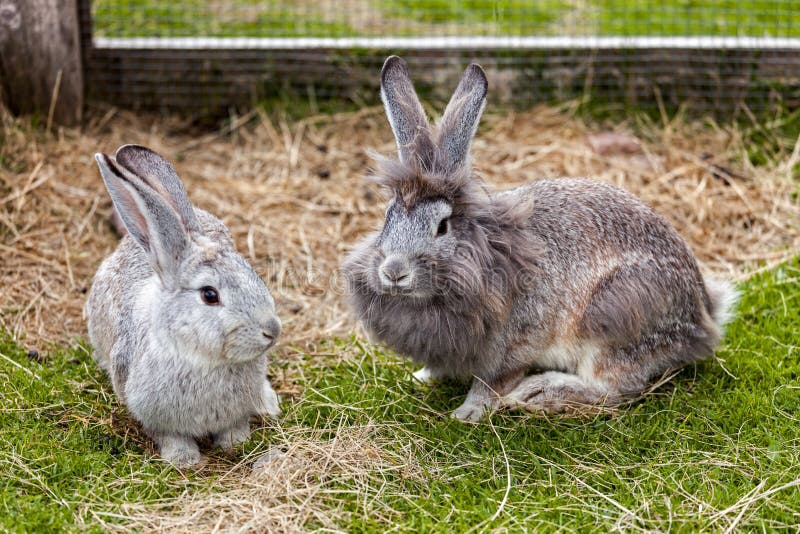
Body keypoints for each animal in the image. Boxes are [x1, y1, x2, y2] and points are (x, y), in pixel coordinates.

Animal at [86, 145, 282, 467]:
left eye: (252, 273)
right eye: (209, 295)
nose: (272, 331)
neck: (202, 358)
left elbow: (234, 425)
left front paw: (235, 443)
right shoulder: (151, 413)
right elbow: (170, 436)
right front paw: (184, 459)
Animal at [342, 56, 739, 422]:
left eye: (442, 227)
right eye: (388, 216)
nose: (393, 272)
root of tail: (704, 315)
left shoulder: (516, 342)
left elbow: (492, 381)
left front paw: (467, 413)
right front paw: (421, 376)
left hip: (614, 316)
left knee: (615, 389)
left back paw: (540, 392)